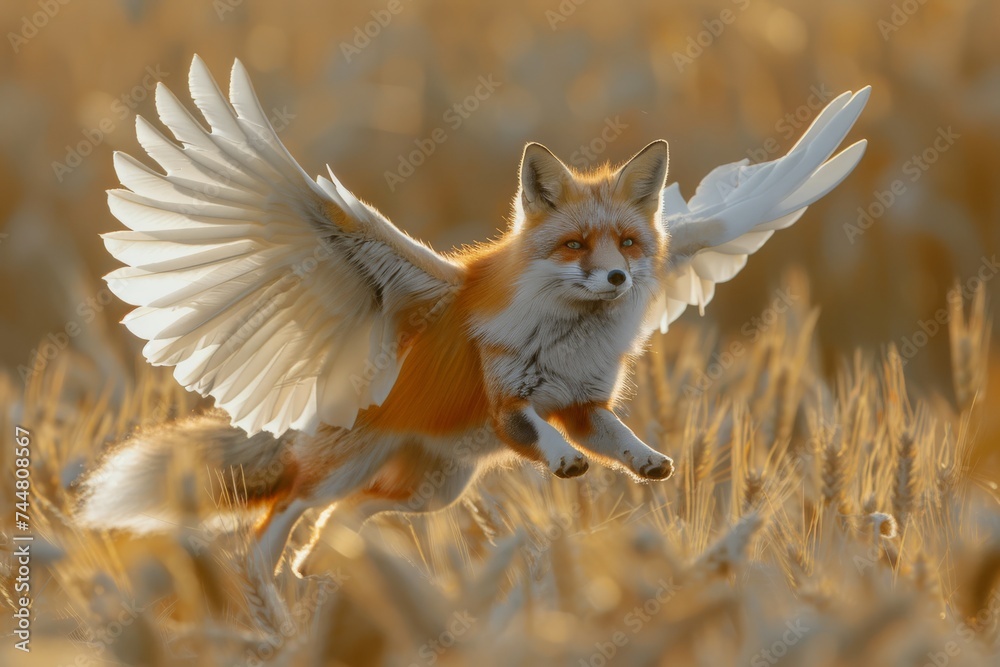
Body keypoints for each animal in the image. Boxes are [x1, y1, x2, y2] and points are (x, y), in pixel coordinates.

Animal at [76, 56, 870, 576]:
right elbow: (540, 436)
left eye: (630, 244)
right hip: (345, 474)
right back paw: (265, 603)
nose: (618, 278)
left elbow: (617, 438)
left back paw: (320, 575)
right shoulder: (507, 402)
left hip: (430, 489)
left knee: (338, 524)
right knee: (272, 528)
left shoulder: (583, 402)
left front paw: (646, 459)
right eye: (575, 245)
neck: (564, 336)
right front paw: (563, 462)